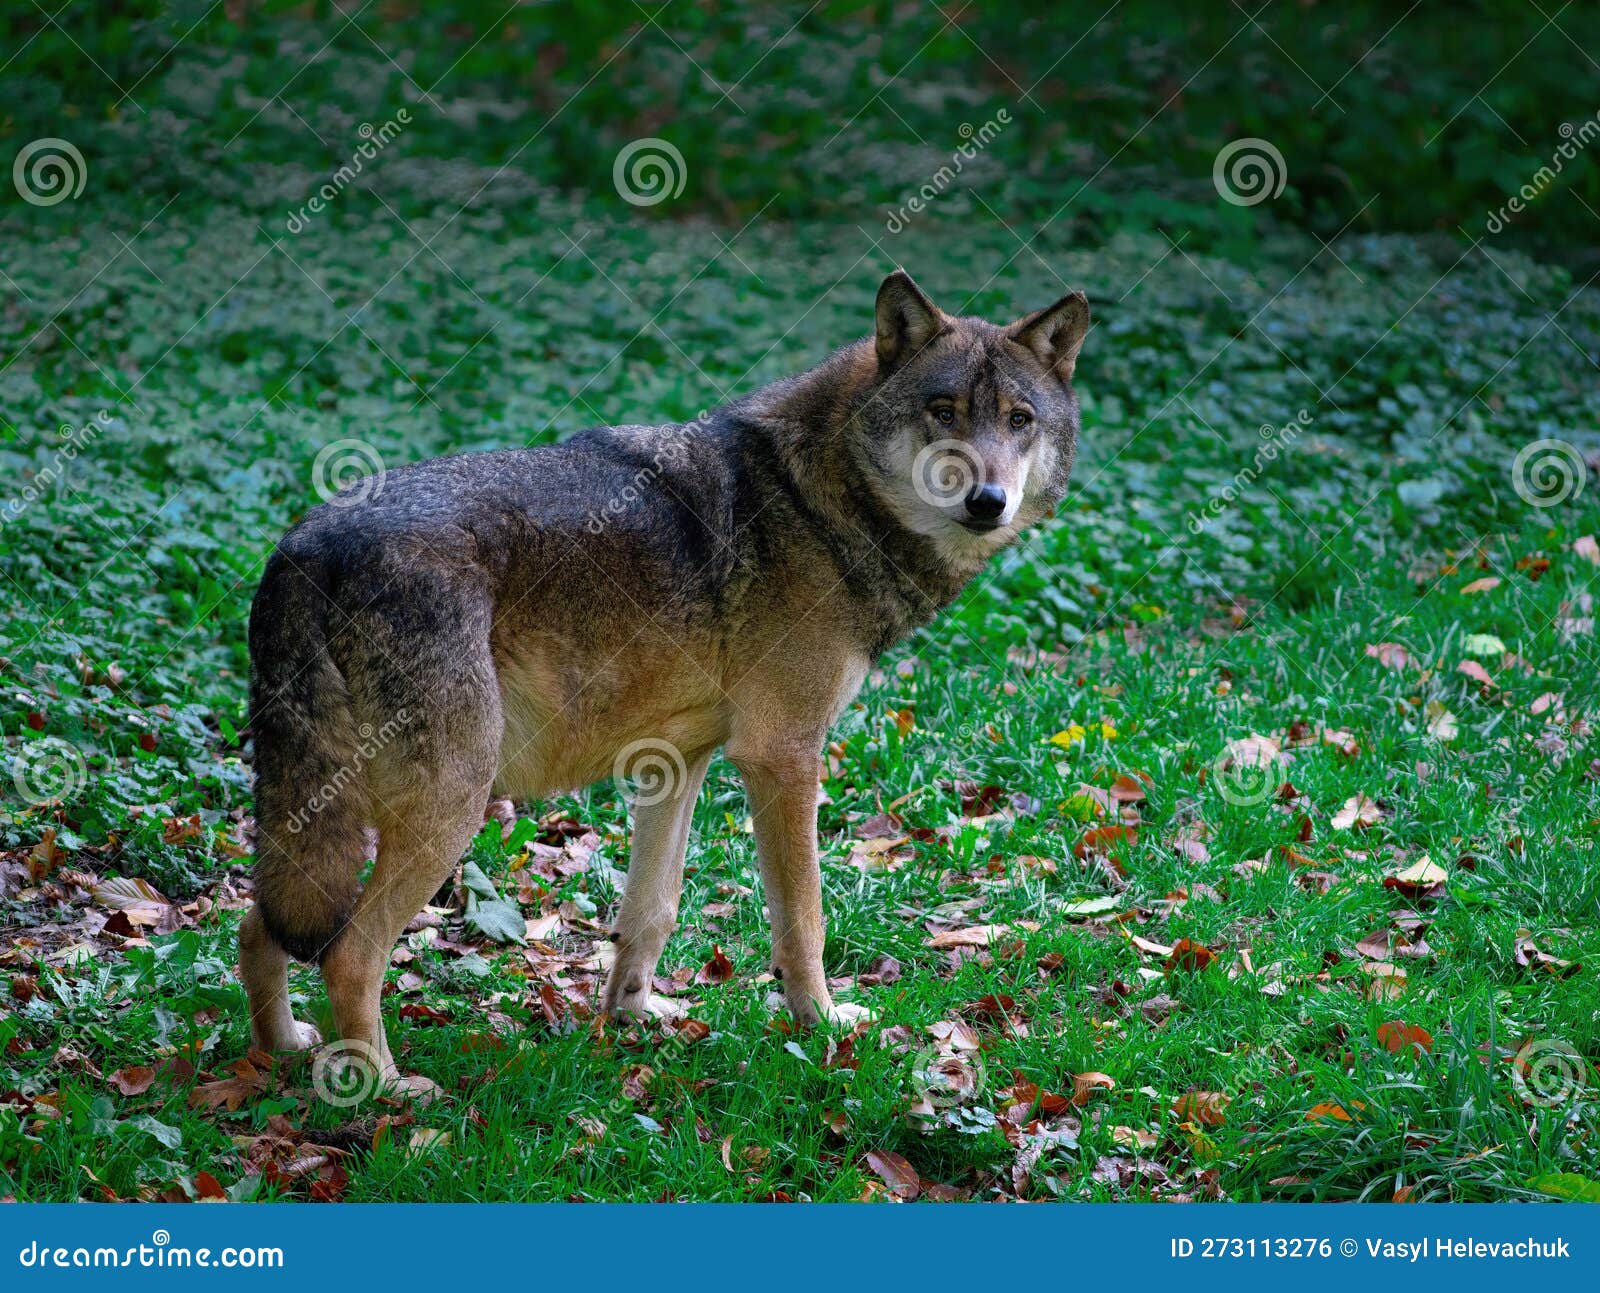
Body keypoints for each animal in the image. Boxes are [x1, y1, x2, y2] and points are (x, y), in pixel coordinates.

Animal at [242, 270, 1089, 1093]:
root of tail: (303, 547)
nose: (987, 499)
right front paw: (820, 1025)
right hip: (453, 804)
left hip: (326, 816)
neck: (816, 495)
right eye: (943, 411)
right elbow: (802, 919)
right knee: (349, 952)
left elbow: (652, 910)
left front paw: (629, 1017)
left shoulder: (675, 763)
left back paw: (280, 1047)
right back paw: (384, 1087)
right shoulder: (782, 756)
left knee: (259, 922)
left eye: (1019, 419)